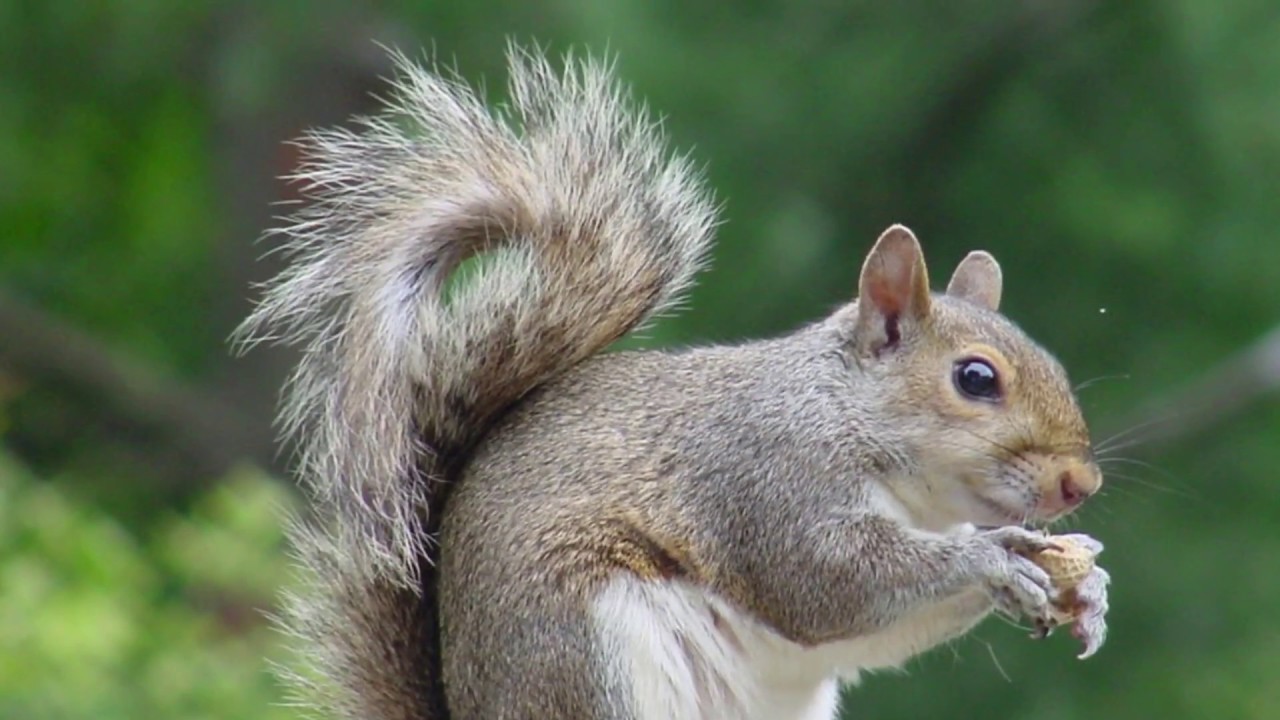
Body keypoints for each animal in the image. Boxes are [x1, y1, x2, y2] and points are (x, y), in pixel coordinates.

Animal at [236, 45, 1111, 720]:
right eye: (975, 378)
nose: (1081, 483)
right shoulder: (766, 480)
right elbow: (830, 582)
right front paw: (994, 555)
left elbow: (879, 632)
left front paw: (1083, 587)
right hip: (590, 655)